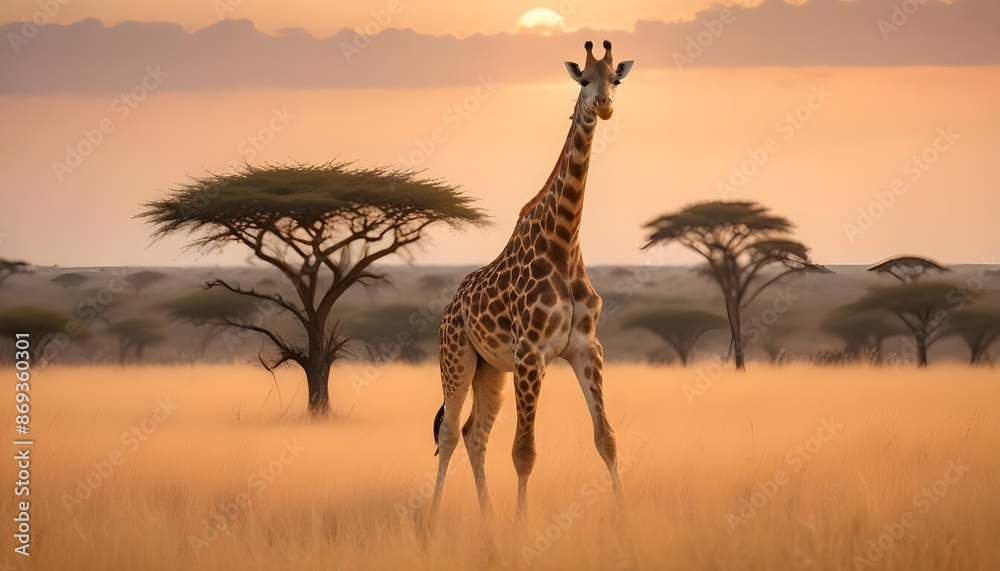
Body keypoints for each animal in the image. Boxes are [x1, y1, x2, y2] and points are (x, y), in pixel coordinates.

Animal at [431, 40, 633, 519]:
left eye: (616, 80)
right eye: (584, 80)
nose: (604, 105)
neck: (563, 243)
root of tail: (448, 309)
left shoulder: (586, 348)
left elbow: (607, 439)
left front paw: (626, 521)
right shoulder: (530, 353)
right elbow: (524, 452)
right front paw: (522, 525)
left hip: (490, 369)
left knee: (474, 433)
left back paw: (488, 521)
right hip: (456, 358)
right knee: (448, 433)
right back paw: (430, 523)